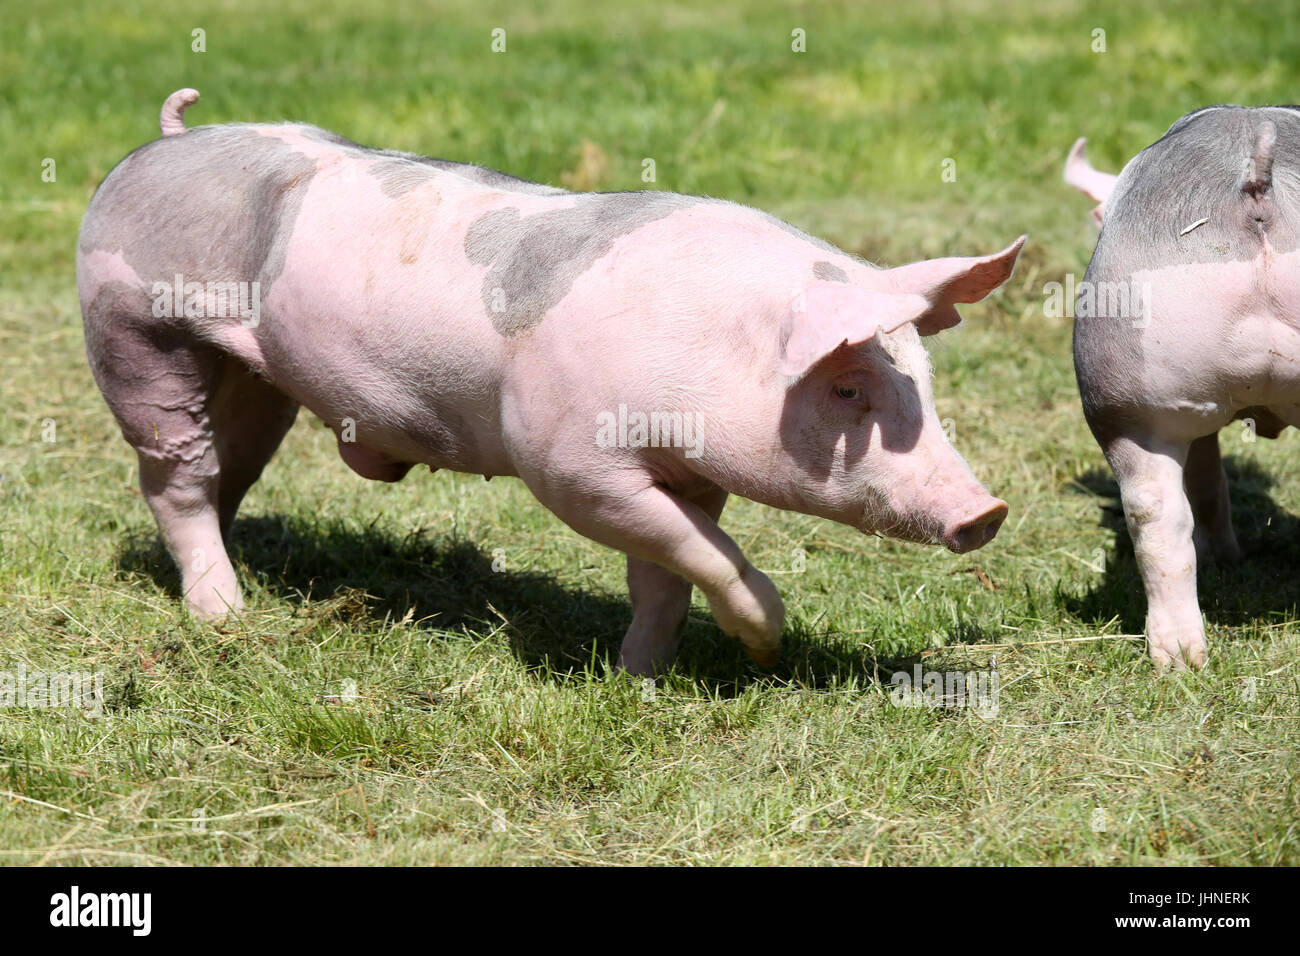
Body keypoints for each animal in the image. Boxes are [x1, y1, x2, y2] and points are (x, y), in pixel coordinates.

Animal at [78, 89, 1023, 675]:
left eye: (921, 380)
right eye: (848, 389)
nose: (986, 511)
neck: (707, 344)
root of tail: (164, 144)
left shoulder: (691, 471)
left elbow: (668, 572)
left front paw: (638, 678)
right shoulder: (568, 461)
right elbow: (698, 551)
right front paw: (764, 645)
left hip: (255, 373)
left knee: (231, 469)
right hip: (133, 329)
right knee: (176, 474)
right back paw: (224, 615)